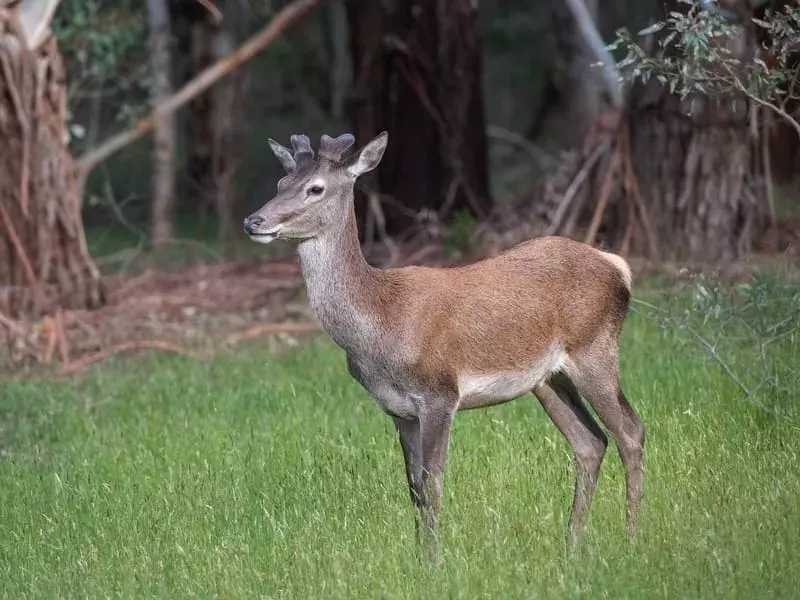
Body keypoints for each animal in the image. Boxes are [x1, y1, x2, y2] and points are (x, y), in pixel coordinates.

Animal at [242, 132, 644, 564]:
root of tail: (619, 266)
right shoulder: (398, 409)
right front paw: (419, 557)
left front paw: (435, 561)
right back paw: (573, 546)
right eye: (281, 183)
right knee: (591, 443)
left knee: (630, 431)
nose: (253, 221)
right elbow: (413, 485)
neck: (380, 323)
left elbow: (433, 481)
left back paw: (632, 539)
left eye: (315, 188)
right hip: (548, 379)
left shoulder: (439, 393)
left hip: (595, 348)